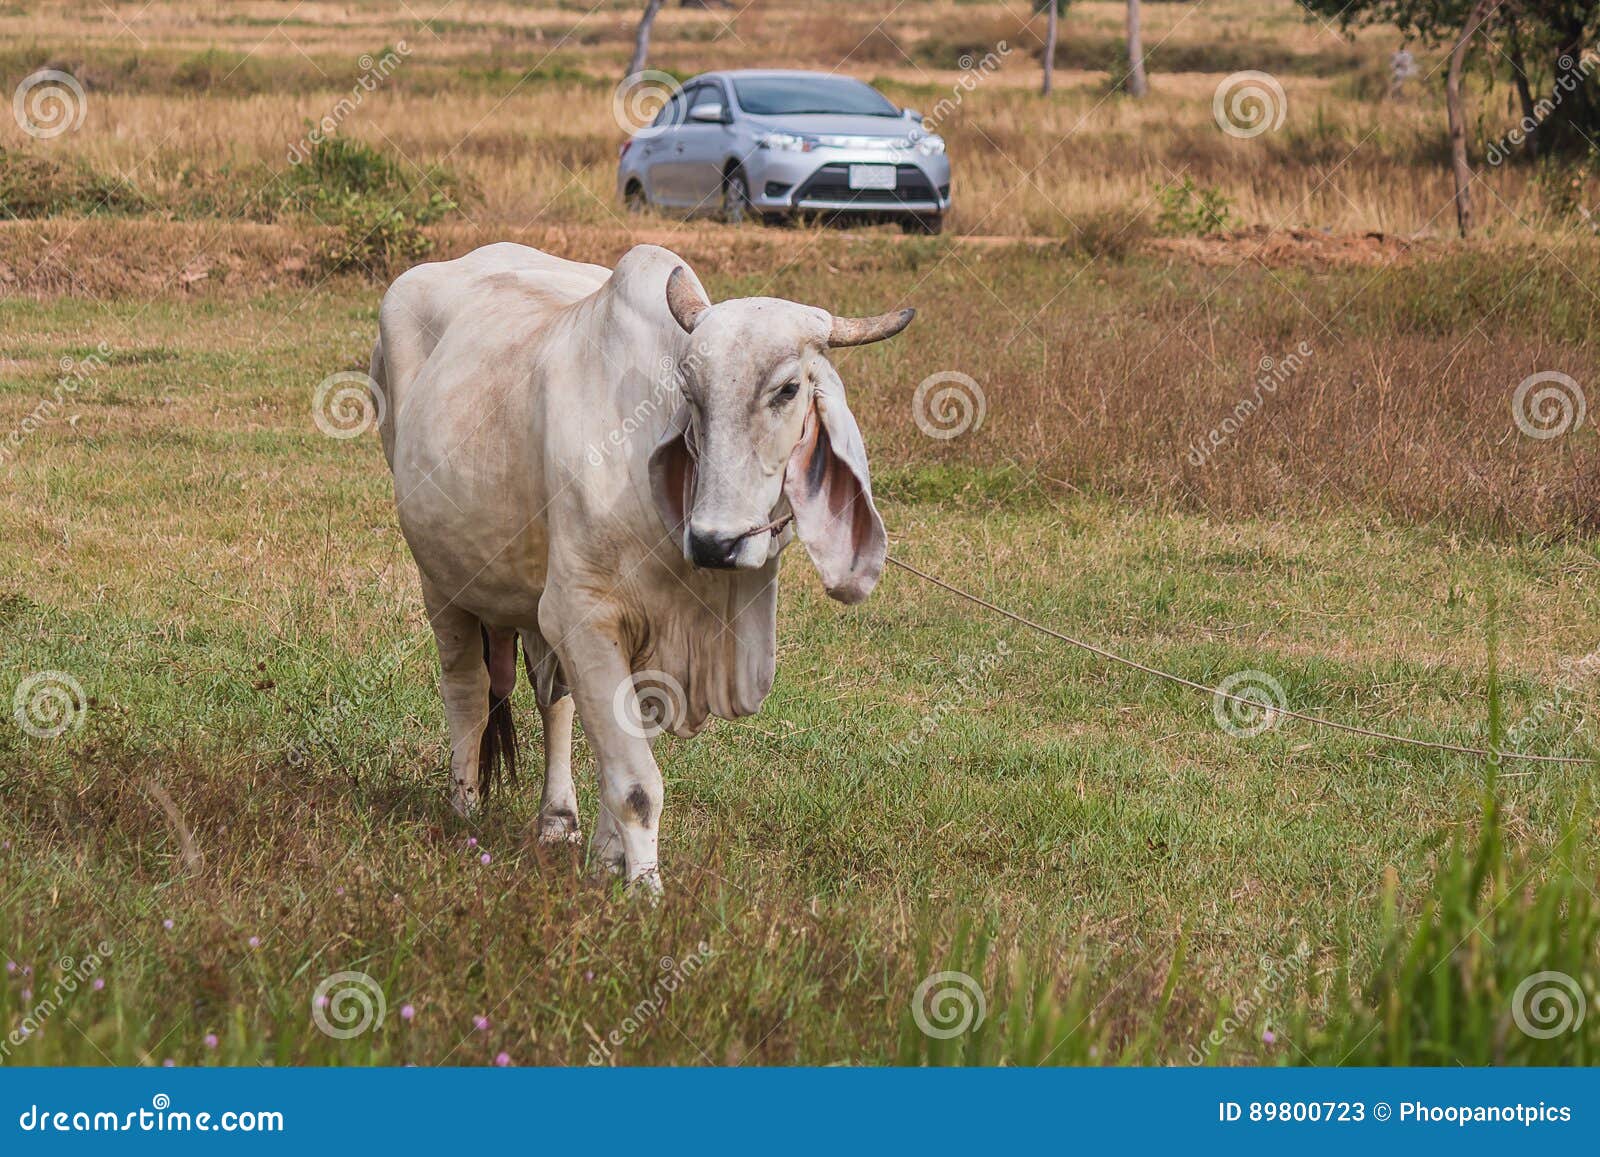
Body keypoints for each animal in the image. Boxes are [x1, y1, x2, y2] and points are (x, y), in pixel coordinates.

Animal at [371, 242, 913, 892]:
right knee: (468, 691)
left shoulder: (647, 640)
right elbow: (635, 785)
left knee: (553, 701)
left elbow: (616, 754)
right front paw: (644, 888)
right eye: (690, 393)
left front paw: (608, 860)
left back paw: (557, 819)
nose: (716, 544)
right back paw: (463, 806)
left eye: (787, 390)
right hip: (442, 578)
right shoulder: (581, 612)